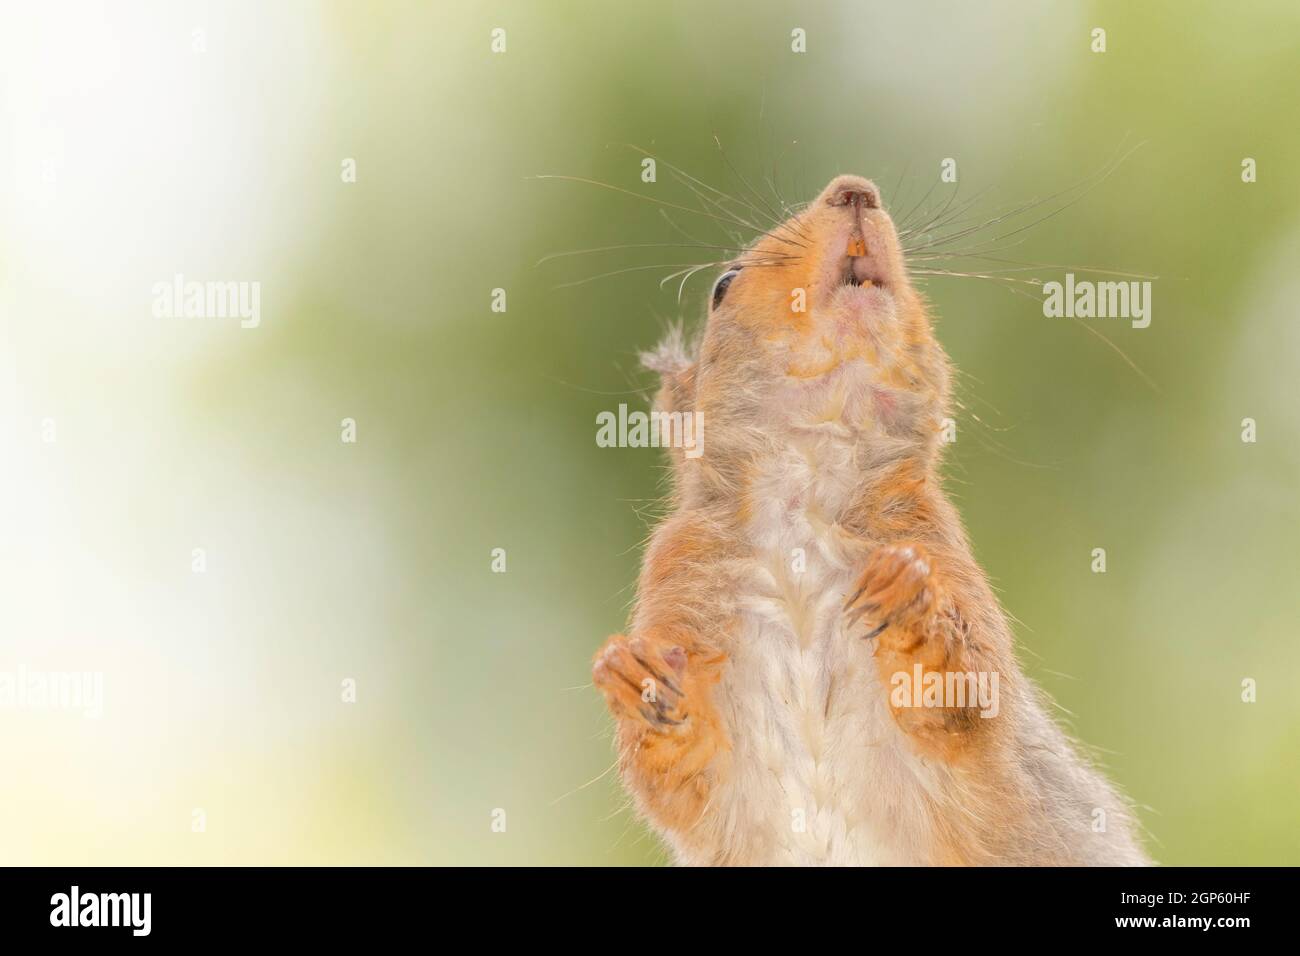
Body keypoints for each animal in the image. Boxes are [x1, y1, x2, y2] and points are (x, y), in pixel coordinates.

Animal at [592, 175, 1149, 866]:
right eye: (723, 286)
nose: (853, 189)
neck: (808, 477)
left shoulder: (933, 538)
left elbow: (972, 692)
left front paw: (911, 609)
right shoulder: (678, 569)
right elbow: (675, 782)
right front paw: (642, 683)